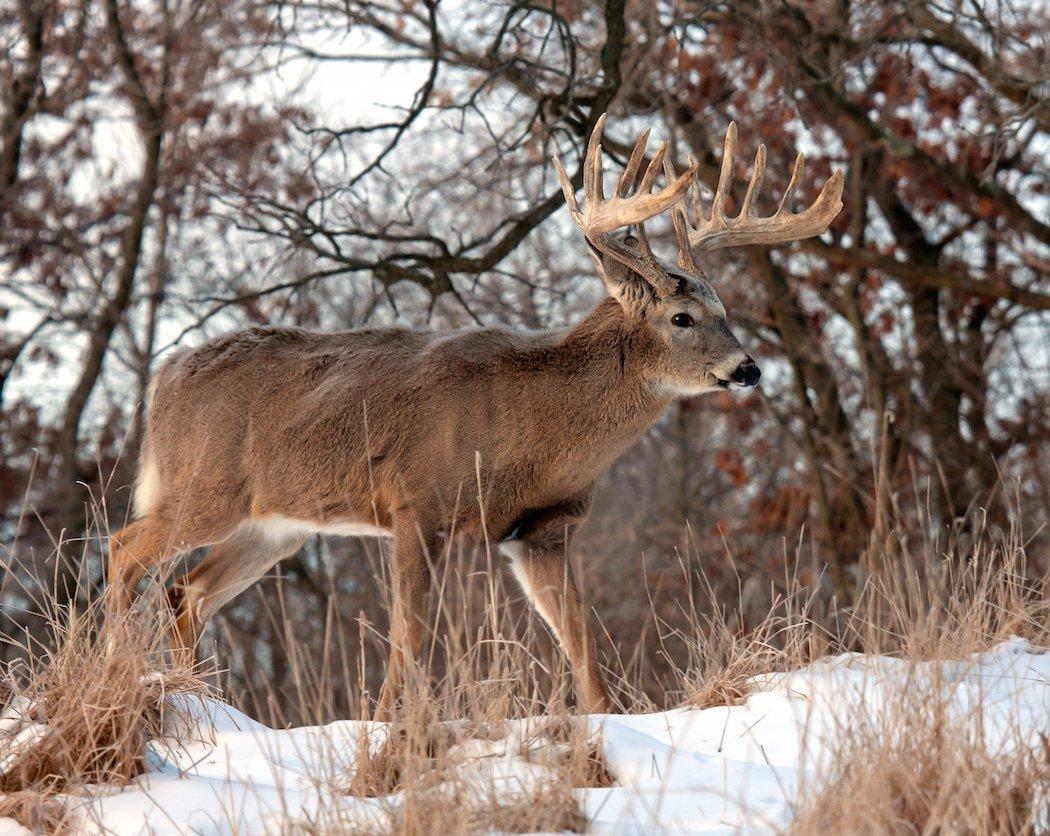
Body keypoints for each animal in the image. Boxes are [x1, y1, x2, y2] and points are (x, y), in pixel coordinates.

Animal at [108, 114, 844, 722]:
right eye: (682, 317)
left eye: (726, 310)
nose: (747, 368)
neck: (535, 436)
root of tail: (162, 379)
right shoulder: (416, 501)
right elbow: (409, 633)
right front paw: (388, 727)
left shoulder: (543, 527)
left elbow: (580, 636)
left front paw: (607, 720)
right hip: (206, 489)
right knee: (125, 550)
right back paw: (123, 673)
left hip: (274, 524)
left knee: (186, 591)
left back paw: (199, 699)